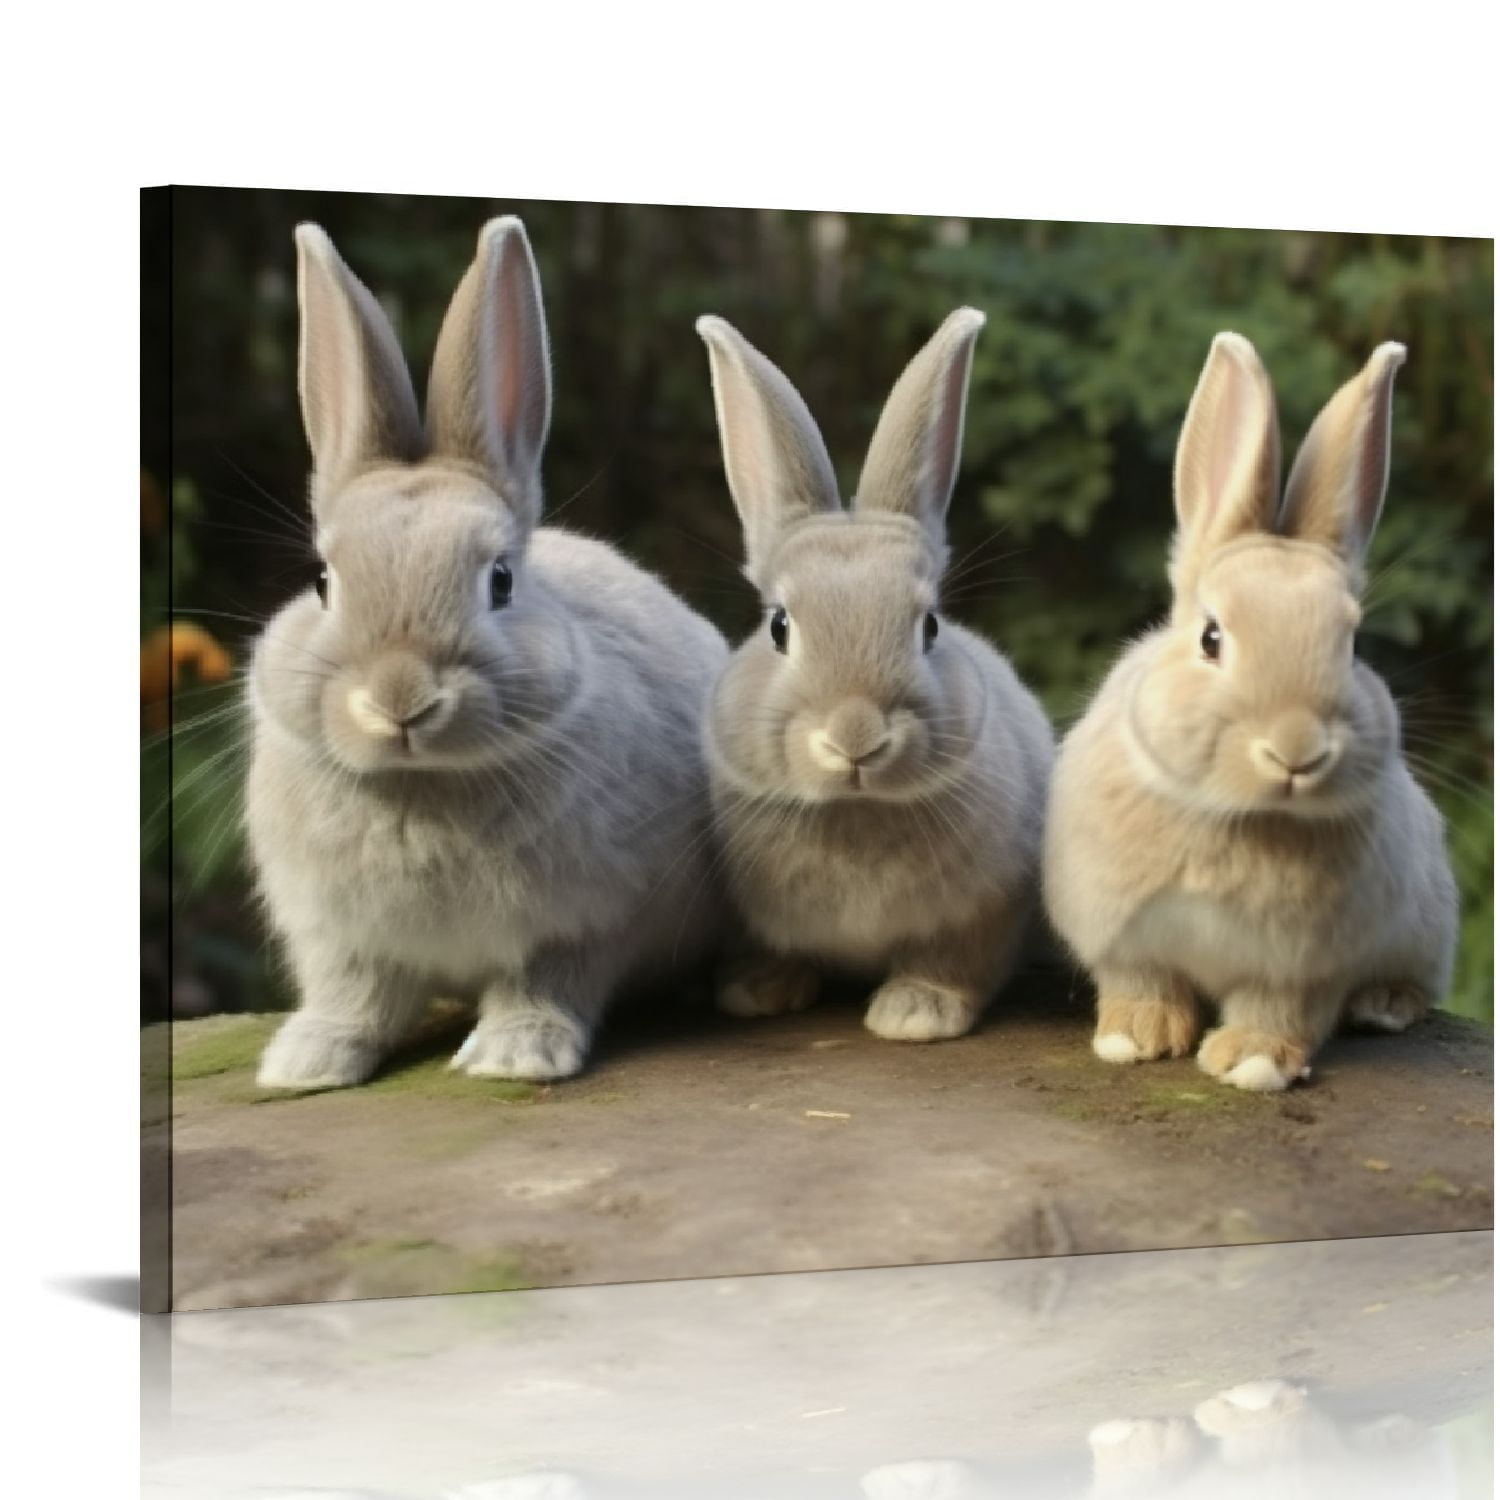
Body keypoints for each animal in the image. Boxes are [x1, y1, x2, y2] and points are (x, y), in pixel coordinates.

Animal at [247, 217, 727, 1090]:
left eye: (500, 579)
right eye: (322, 580)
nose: (399, 700)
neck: (421, 785)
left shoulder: (587, 920)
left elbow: (545, 980)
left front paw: (514, 1056)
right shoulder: (340, 938)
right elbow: (352, 997)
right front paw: (306, 1064)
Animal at [694, 310, 1055, 1043]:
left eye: (930, 627)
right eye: (779, 627)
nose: (855, 736)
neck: (855, 808)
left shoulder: (988, 909)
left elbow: (954, 961)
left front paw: (915, 1012)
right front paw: (754, 992)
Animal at [1044, 332, 1458, 1091]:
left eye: (1353, 644)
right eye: (1212, 637)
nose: (1296, 751)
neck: (1239, 814)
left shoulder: (1302, 967)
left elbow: (1281, 1012)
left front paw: (1251, 1062)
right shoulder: (1126, 937)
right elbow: (1141, 983)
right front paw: (1132, 1038)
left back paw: (1383, 1006)